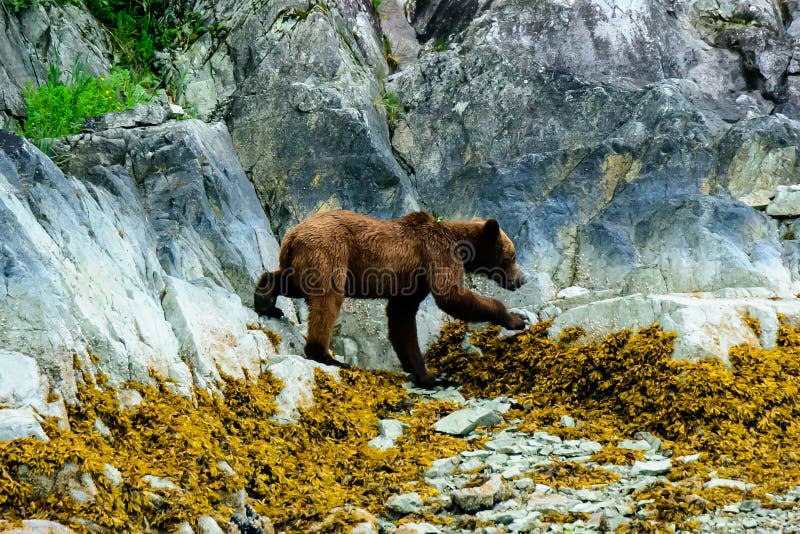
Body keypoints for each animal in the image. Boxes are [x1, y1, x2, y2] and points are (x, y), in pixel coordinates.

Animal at [254, 210, 528, 387]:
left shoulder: (413, 283)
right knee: (326, 301)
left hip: (304, 260)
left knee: (290, 282)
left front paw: (428, 375)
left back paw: (266, 302)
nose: (522, 279)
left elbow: (402, 321)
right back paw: (327, 357)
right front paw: (515, 318)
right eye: (512, 255)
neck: (462, 247)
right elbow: (451, 297)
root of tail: (292, 235)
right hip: (330, 253)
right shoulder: (437, 256)